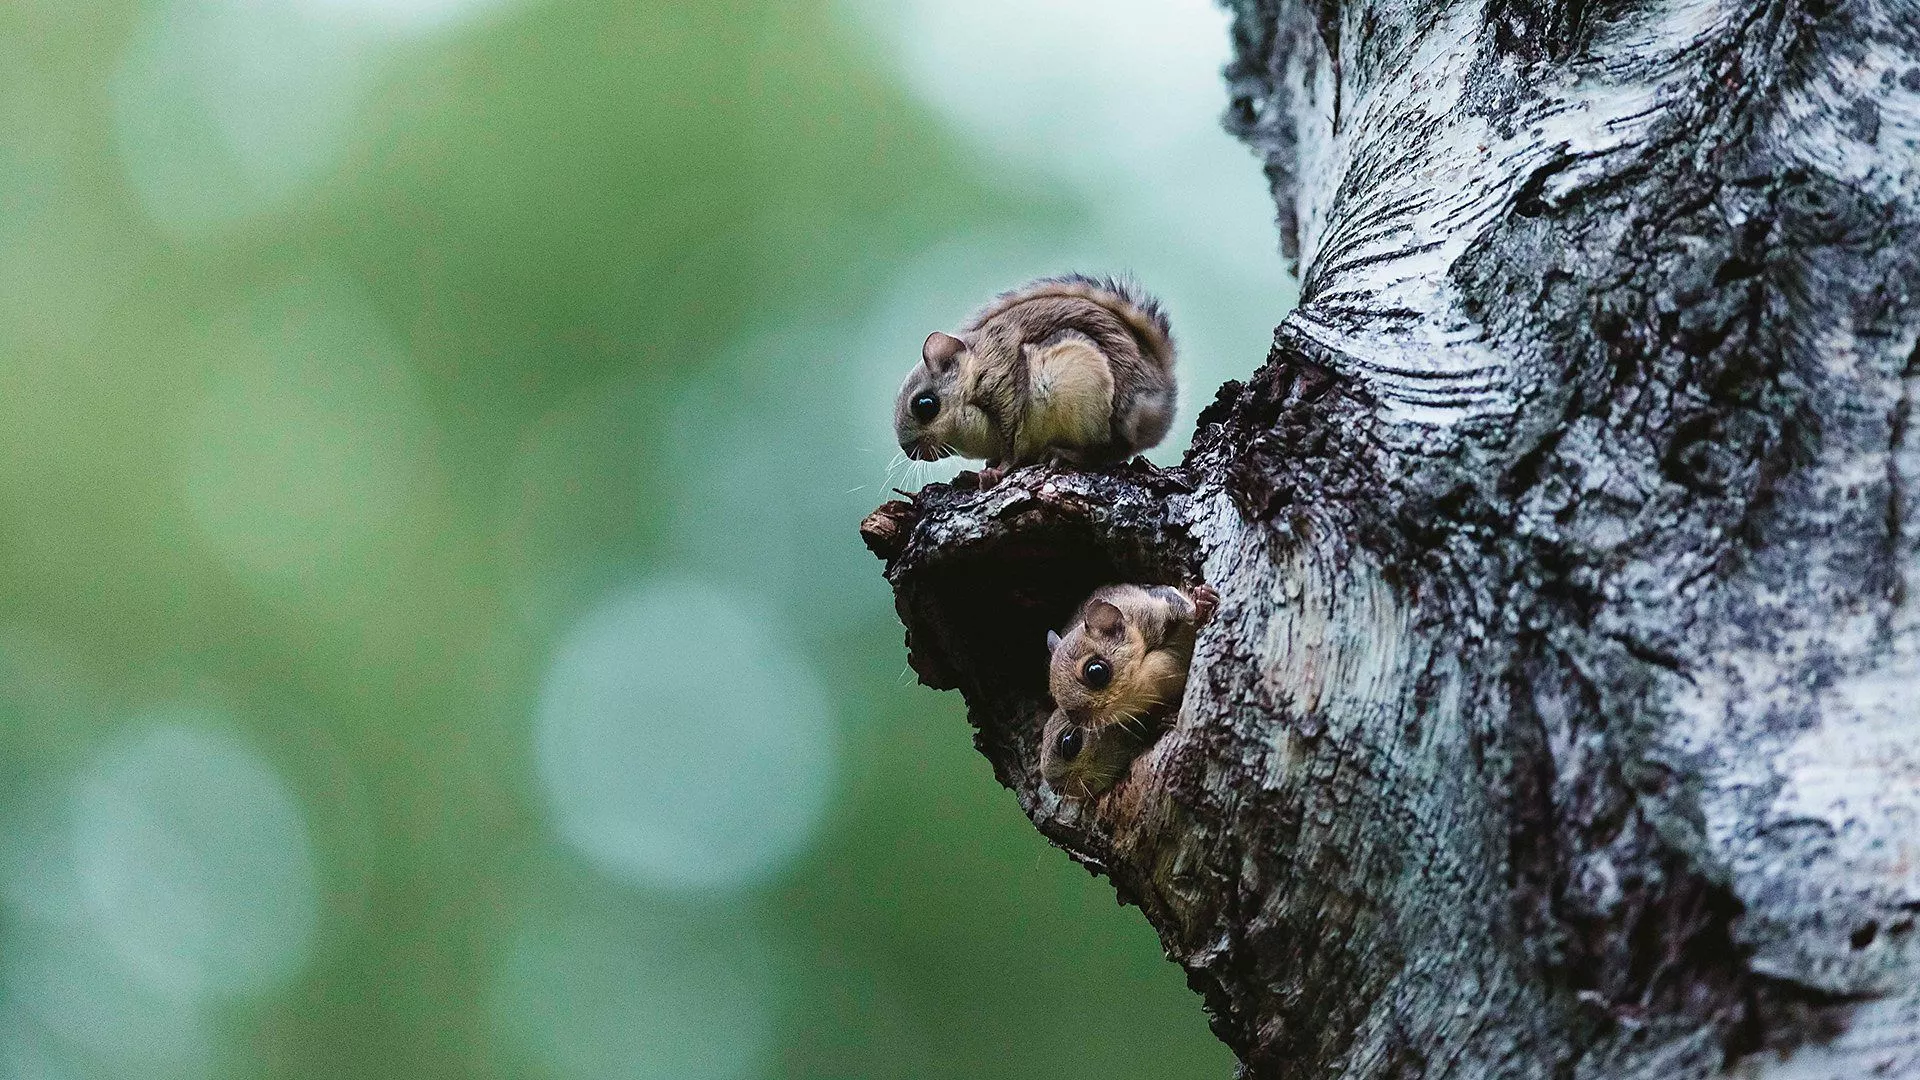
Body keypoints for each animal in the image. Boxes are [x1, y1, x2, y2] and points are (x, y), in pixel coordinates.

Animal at [893, 274, 1177, 485]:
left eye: (925, 405)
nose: (908, 450)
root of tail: (1159, 405)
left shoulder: (1004, 381)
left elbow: (1011, 440)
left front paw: (998, 469)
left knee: (1111, 451)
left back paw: (1064, 454)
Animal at [1040, 582, 1219, 798]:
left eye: (1096, 671)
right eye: (1052, 690)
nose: (1075, 718)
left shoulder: (1153, 608)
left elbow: (1178, 604)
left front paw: (1201, 601)